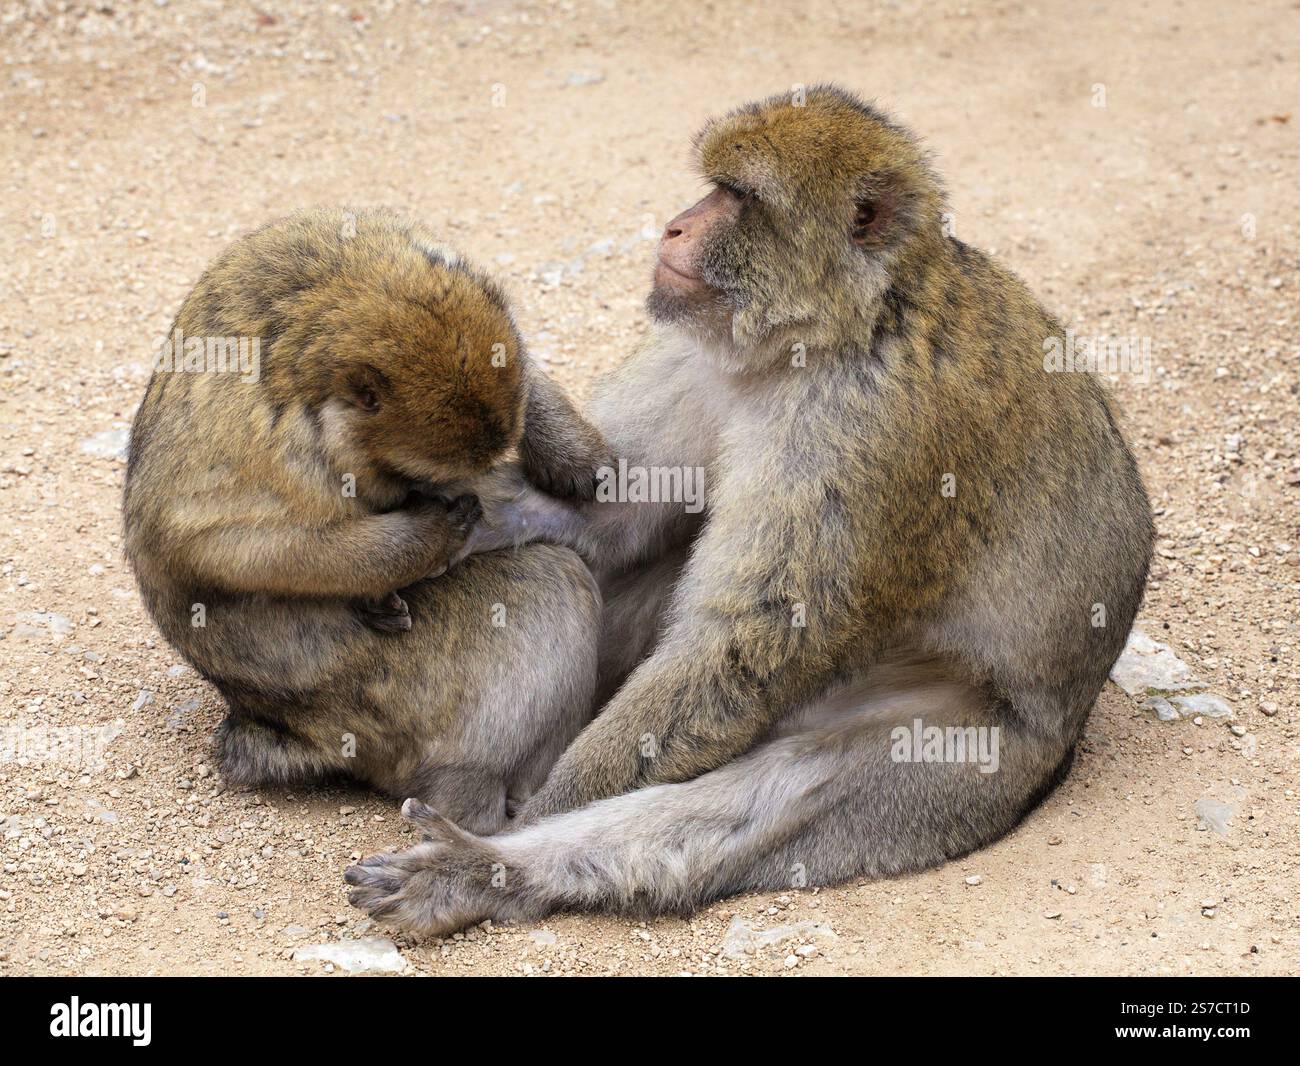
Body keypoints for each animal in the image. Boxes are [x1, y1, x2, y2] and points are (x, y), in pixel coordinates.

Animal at [123, 208, 608, 833]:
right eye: (410, 480)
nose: (429, 500)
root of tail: (283, 726)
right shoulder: (268, 442)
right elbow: (222, 546)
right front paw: (427, 536)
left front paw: (569, 453)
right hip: (380, 693)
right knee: (552, 580)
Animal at [346, 86, 1155, 935]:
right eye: (711, 186)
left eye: (736, 196)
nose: (675, 225)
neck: (847, 324)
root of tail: (1069, 727)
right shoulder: (698, 352)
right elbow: (612, 506)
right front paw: (464, 522)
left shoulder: (863, 425)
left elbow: (748, 647)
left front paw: (542, 811)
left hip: (972, 752)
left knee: (785, 793)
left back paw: (492, 872)